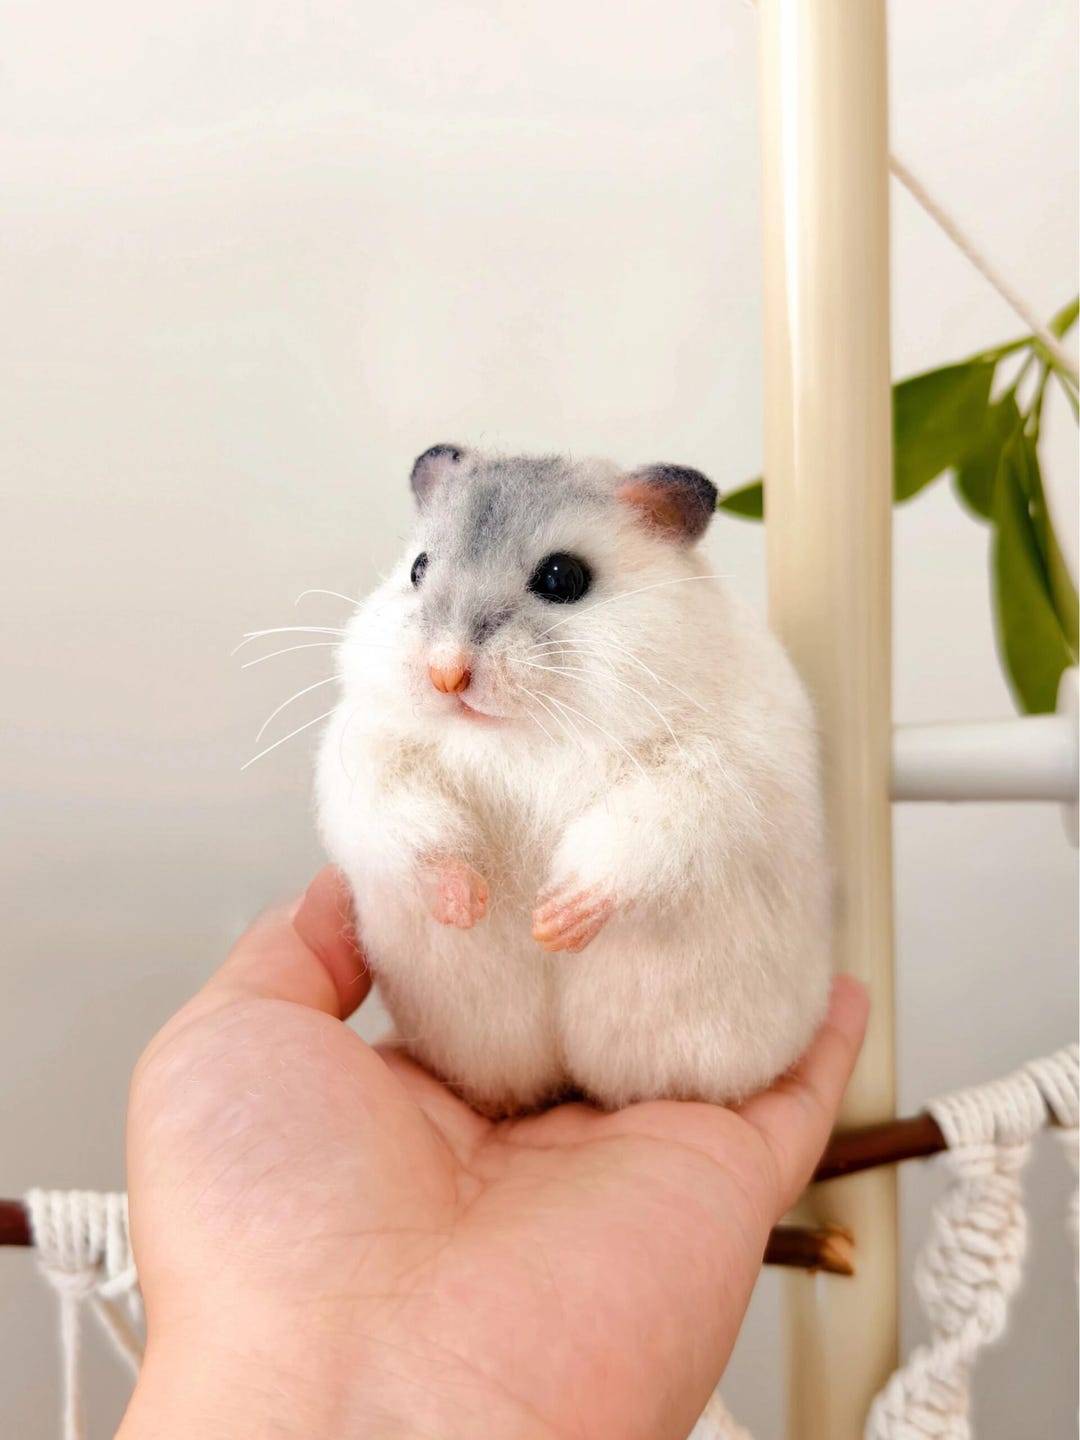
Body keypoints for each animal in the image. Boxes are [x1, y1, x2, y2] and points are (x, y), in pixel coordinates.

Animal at [316, 445, 832, 1117]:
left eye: (563, 579)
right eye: (418, 568)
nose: (445, 673)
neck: (520, 735)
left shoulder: (700, 778)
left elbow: (625, 851)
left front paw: (551, 925)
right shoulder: (372, 760)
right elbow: (416, 837)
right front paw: (470, 904)